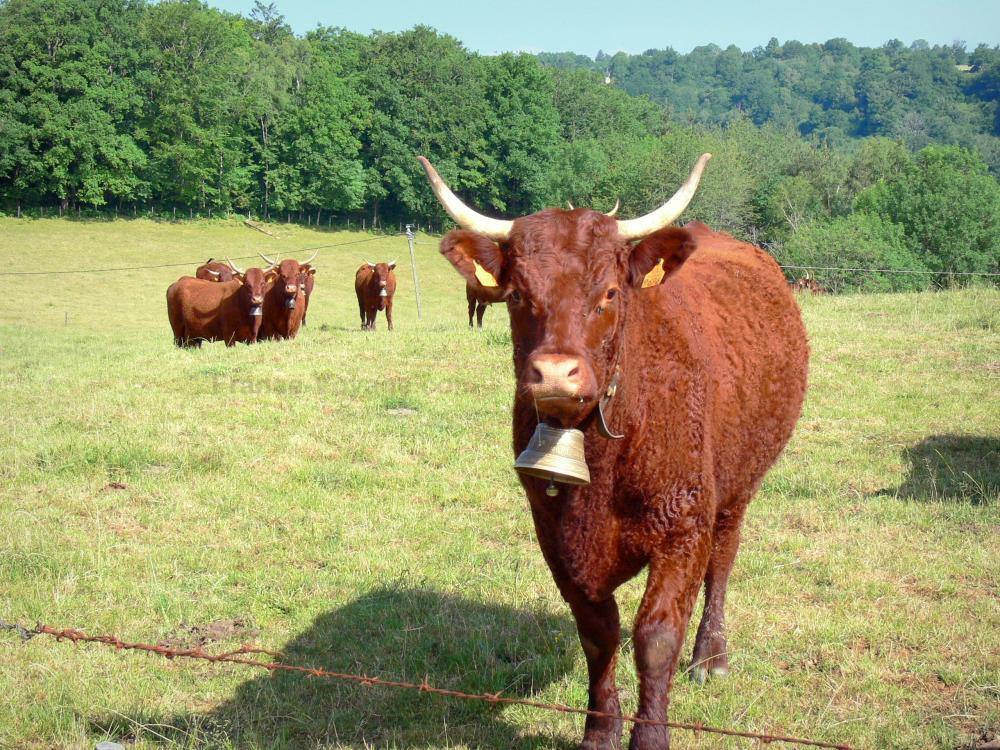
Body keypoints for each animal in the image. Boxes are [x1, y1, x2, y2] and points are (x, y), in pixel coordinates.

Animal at [419, 154, 809, 750]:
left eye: (608, 293)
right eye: (517, 295)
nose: (556, 373)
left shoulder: (683, 527)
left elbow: (656, 636)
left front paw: (650, 735)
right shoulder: (556, 535)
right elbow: (598, 632)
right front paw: (601, 730)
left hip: (739, 485)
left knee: (723, 561)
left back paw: (711, 656)